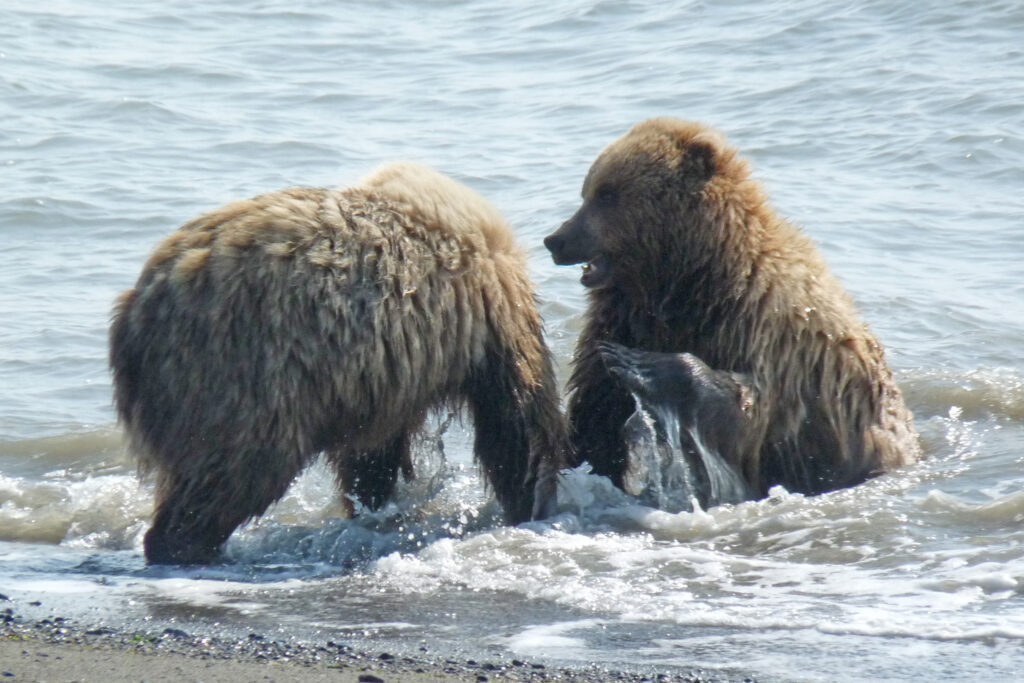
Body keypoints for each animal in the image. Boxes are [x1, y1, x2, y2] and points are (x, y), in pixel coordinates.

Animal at [110, 162, 568, 564]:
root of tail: (133, 313)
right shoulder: (482, 320)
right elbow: (513, 424)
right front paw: (530, 493)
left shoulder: (379, 374)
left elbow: (370, 453)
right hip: (240, 374)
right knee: (233, 469)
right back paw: (188, 544)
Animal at [544, 118, 919, 504]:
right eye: (588, 191)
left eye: (607, 193)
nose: (556, 240)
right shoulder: (622, 317)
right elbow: (597, 410)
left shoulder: (759, 326)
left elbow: (745, 410)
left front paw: (635, 362)